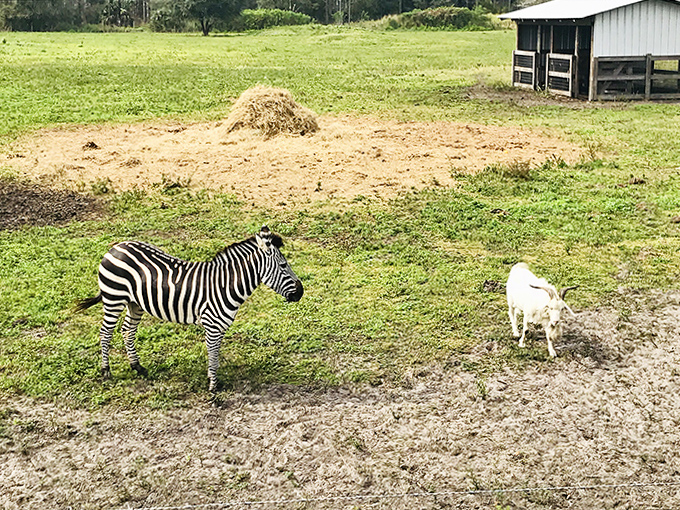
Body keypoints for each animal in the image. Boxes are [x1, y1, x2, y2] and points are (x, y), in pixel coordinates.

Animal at [74, 226, 303, 392]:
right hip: (114, 298)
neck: (225, 284)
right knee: (105, 332)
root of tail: (115, 247)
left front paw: (213, 380)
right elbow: (213, 355)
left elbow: (215, 355)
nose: (301, 292)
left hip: (135, 303)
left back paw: (137, 367)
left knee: (127, 330)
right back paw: (106, 371)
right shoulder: (212, 326)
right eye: (283, 266)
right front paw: (213, 387)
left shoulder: (220, 327)